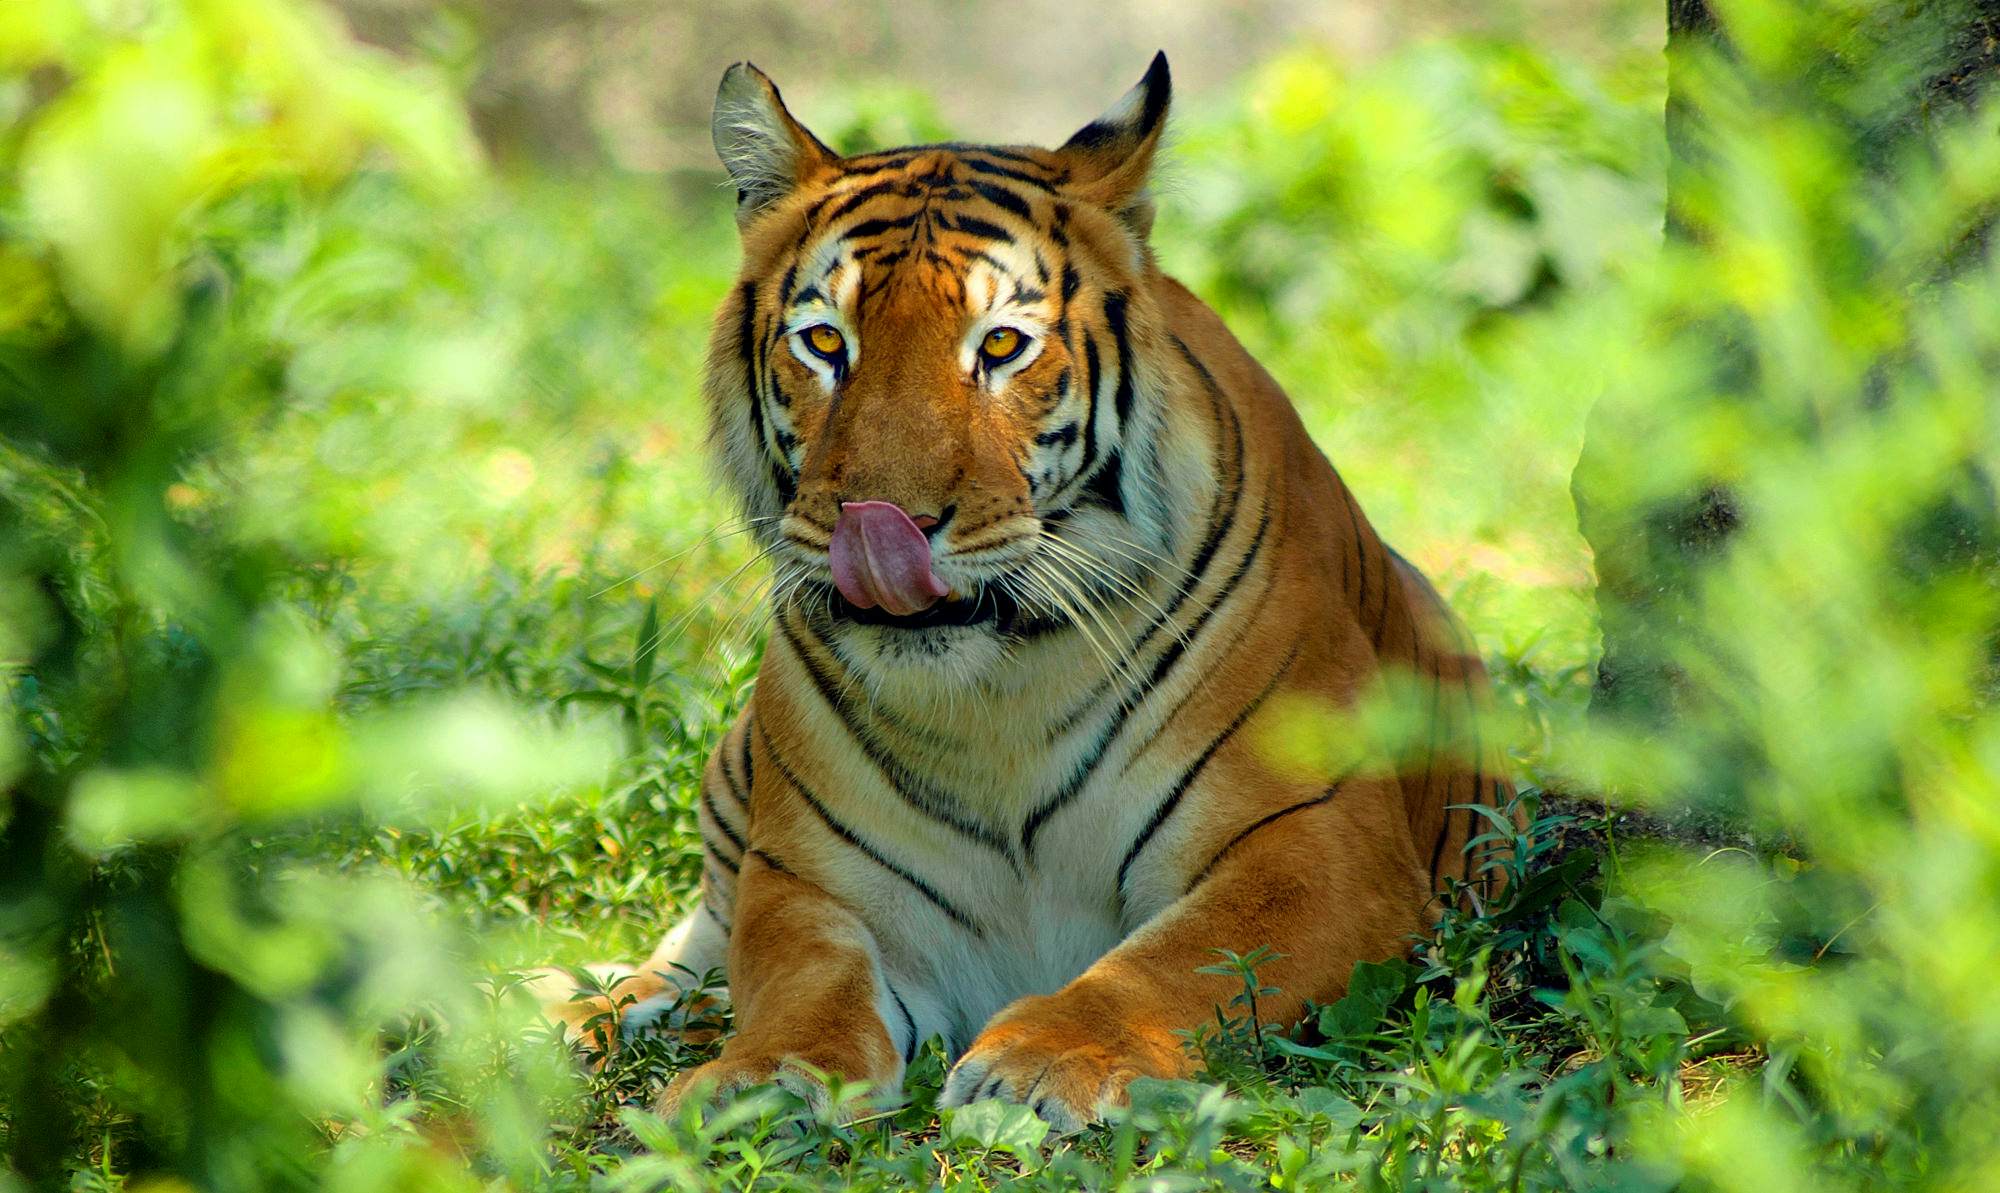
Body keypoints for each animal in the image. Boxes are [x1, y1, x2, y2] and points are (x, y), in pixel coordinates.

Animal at [528, 52, 1514, 1133]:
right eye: (825, 343)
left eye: (1000, 346)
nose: (883, 524)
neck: (996, 693)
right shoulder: (809, 878)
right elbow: (796, 979)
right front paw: (756, 1080)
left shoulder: (1315, 841)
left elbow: (1175, 964)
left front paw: (1042, 1064)